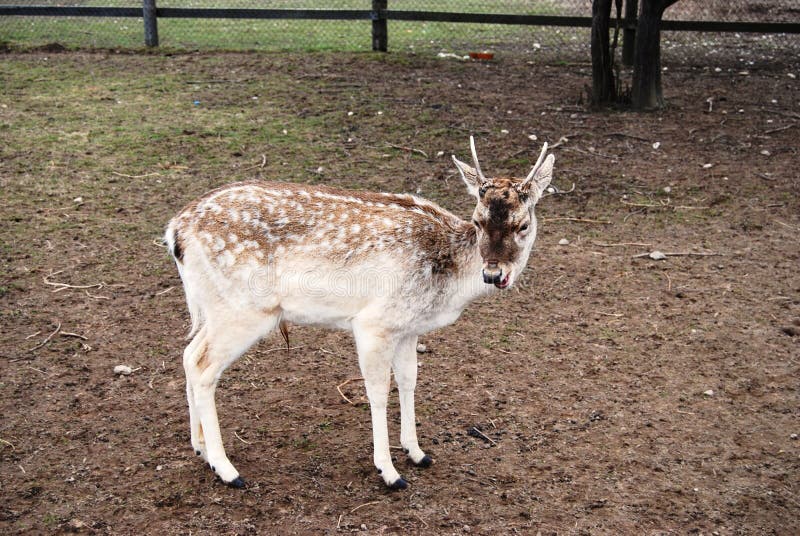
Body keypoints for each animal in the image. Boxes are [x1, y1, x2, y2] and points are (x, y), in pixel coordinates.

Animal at [164, 137, 554, 490]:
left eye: (523, 225)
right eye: (477, 221)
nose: (494, 274)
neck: (446, 283)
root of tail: (174, 233)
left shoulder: (407, 327)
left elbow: (409, 380)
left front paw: (417, 452)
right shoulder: (374, 322)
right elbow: (378, 391)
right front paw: (389, 472)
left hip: (214, 307)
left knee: (188, 354)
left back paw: (200, 448)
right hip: (244, 309)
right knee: (203, 367)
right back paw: (227, 470)